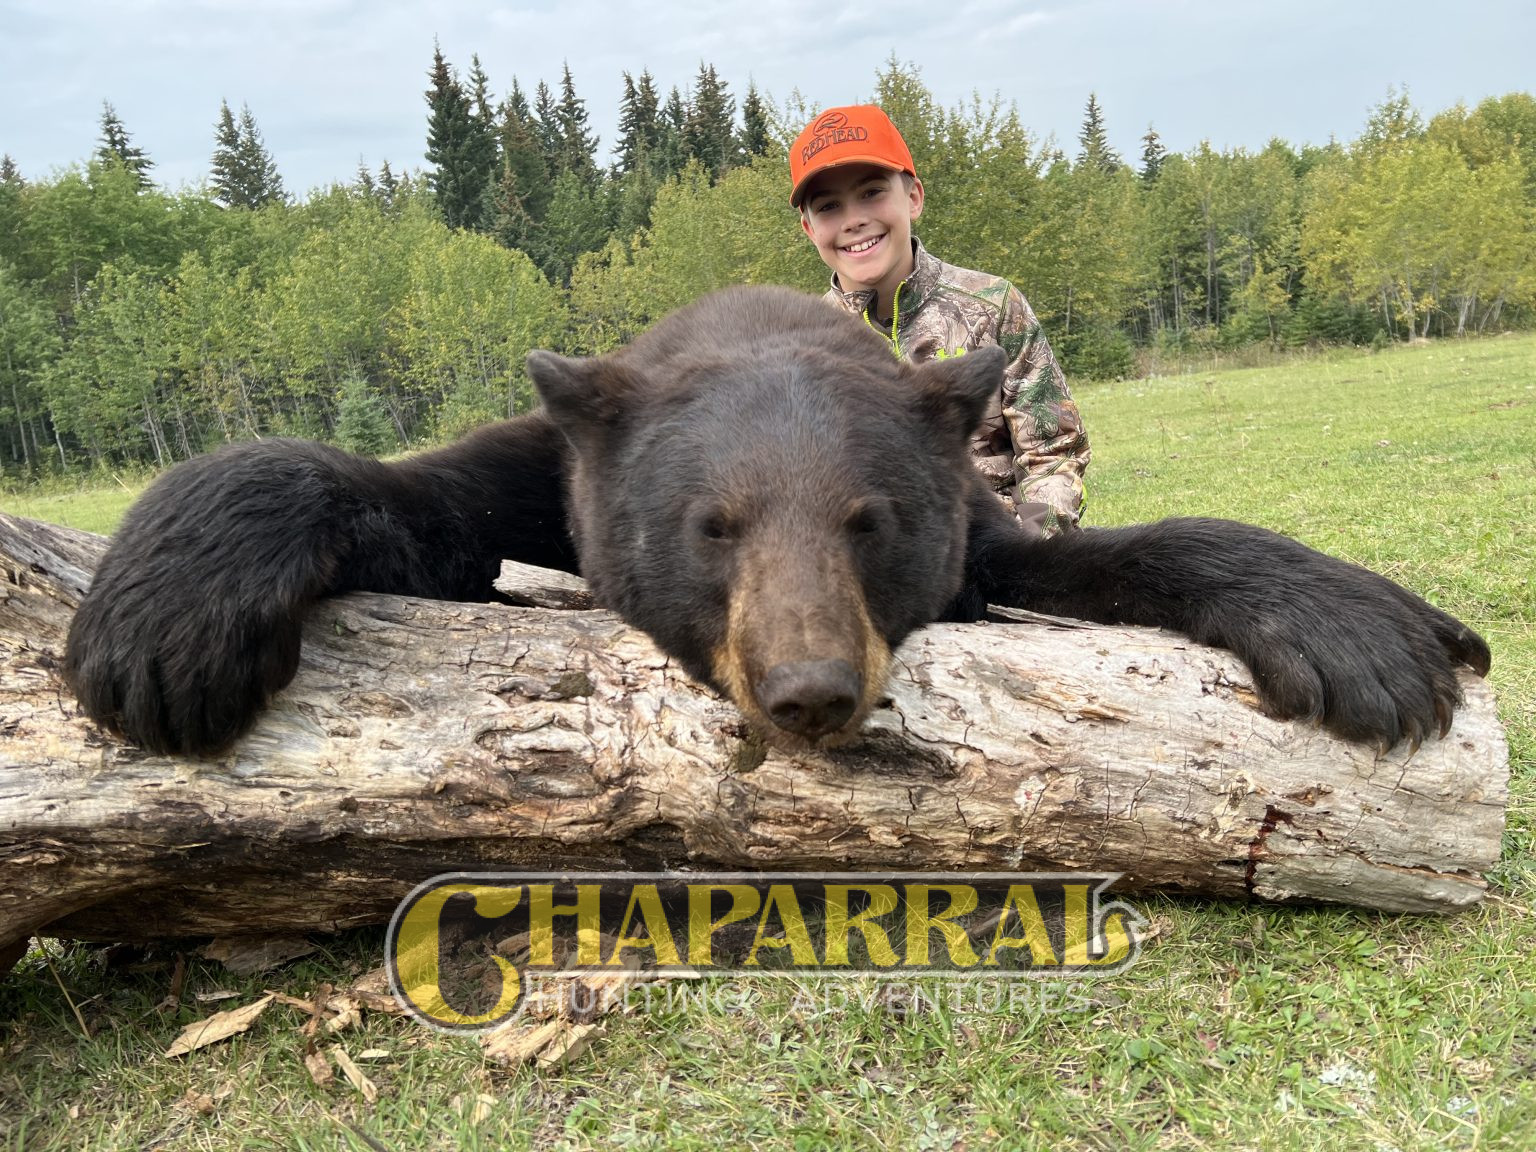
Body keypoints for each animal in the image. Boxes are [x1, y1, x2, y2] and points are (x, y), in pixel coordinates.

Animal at [63, 285, 1490, 758]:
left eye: (868, 520)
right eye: (714, 525)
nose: (809, 690)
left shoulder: (973, 516)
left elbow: (1097, 555)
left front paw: (1373, 635)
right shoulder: (550, 473)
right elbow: (420, 512)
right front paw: (161, 629)